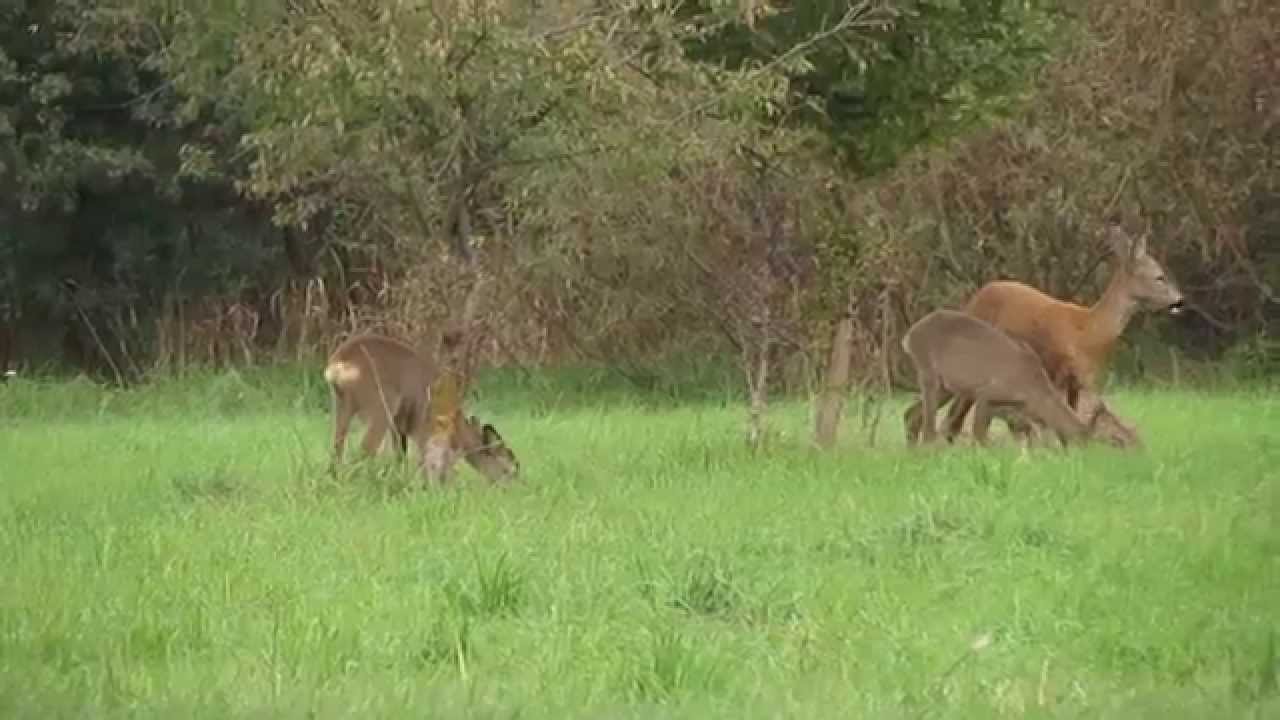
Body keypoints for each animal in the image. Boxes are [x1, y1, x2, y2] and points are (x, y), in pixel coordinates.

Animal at [323, 333, 520, 484]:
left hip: (342, 404)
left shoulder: (400, 426)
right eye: (509, 468)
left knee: (337, 447)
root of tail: (338, 366)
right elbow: (431, 459)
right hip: (382, 404)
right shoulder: (425, 422)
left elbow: (401, 455)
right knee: (366, 448)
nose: (516, 486)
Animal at [901, 309, 1124, 449]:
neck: (1034, 391)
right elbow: (979, 436)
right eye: (1084, 440)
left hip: (946, 387)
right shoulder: (987, 393)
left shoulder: (1014, 413)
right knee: (928, 429)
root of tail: (909, 336)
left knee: (911, 414)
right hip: (928, 374)